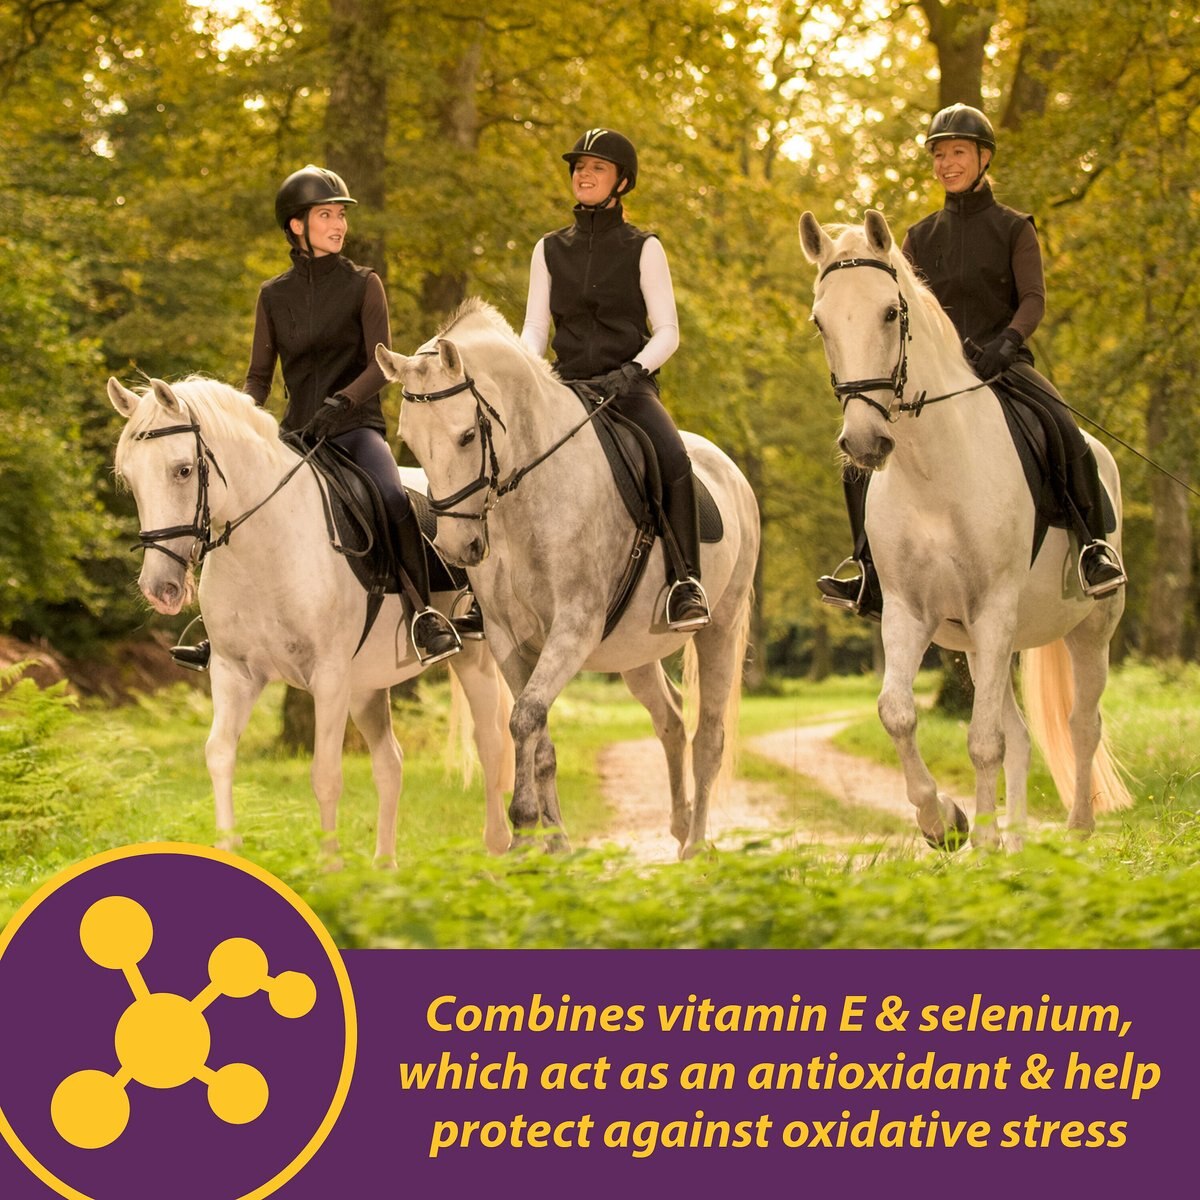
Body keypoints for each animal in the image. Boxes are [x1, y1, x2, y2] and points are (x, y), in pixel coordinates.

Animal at [108, 375, 515, 864]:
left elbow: (325, 774)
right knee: (391, 762)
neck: (263, 546)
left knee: (491, 743)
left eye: (183, 470)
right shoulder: (234, 672)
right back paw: (385, 866)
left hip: (472, 656)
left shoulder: (328, 676)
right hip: (366, 684)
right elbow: (219, 754)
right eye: (128, 479)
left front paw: (330, 867)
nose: (159, 588)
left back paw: (497, 848)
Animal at [374, 299, 760, 859]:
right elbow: (538, 737)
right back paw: (680, 824)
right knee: (670, 718)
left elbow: (524, 719)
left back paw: (694, 847)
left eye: (466, 436)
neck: (530, 494)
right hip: (634, 652)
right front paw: (552, 844)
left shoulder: (573, 629)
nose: (455, 547)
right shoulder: (509, 638)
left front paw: (523, 831)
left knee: (708, 736)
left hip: (721, 630)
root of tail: (730, 472)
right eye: (410, 442)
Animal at [798, 209, 1132, 850]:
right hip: (983, 648)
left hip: (1088, 630)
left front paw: (972, 840)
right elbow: (897, 713)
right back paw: (1015, 847)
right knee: (1023, 738)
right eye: (820, 321)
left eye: (890, 313)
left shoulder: (994, 608)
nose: (864, 443)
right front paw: (945, 824)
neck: (933, 471)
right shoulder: (909, 611)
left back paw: (1077, 833)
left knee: (1083, 724)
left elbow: (984, 743)